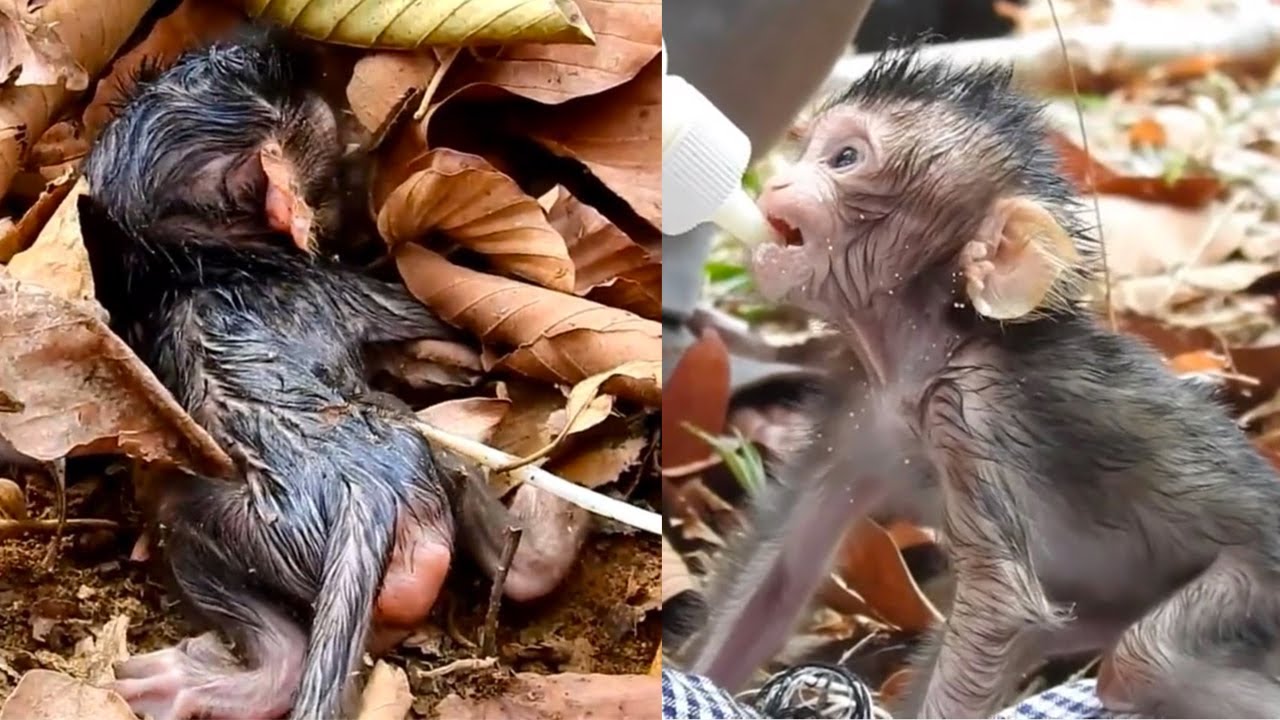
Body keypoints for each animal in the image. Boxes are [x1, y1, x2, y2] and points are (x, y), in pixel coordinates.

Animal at [682, 47, 1280, 719]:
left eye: (844, 158)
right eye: (812, 150)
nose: (775, 185)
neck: (923, 355)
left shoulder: (974, 411)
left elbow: (1000, 603)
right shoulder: (856, 400)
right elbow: (782, 575)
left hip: (1256, 584)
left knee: (1147, 658)